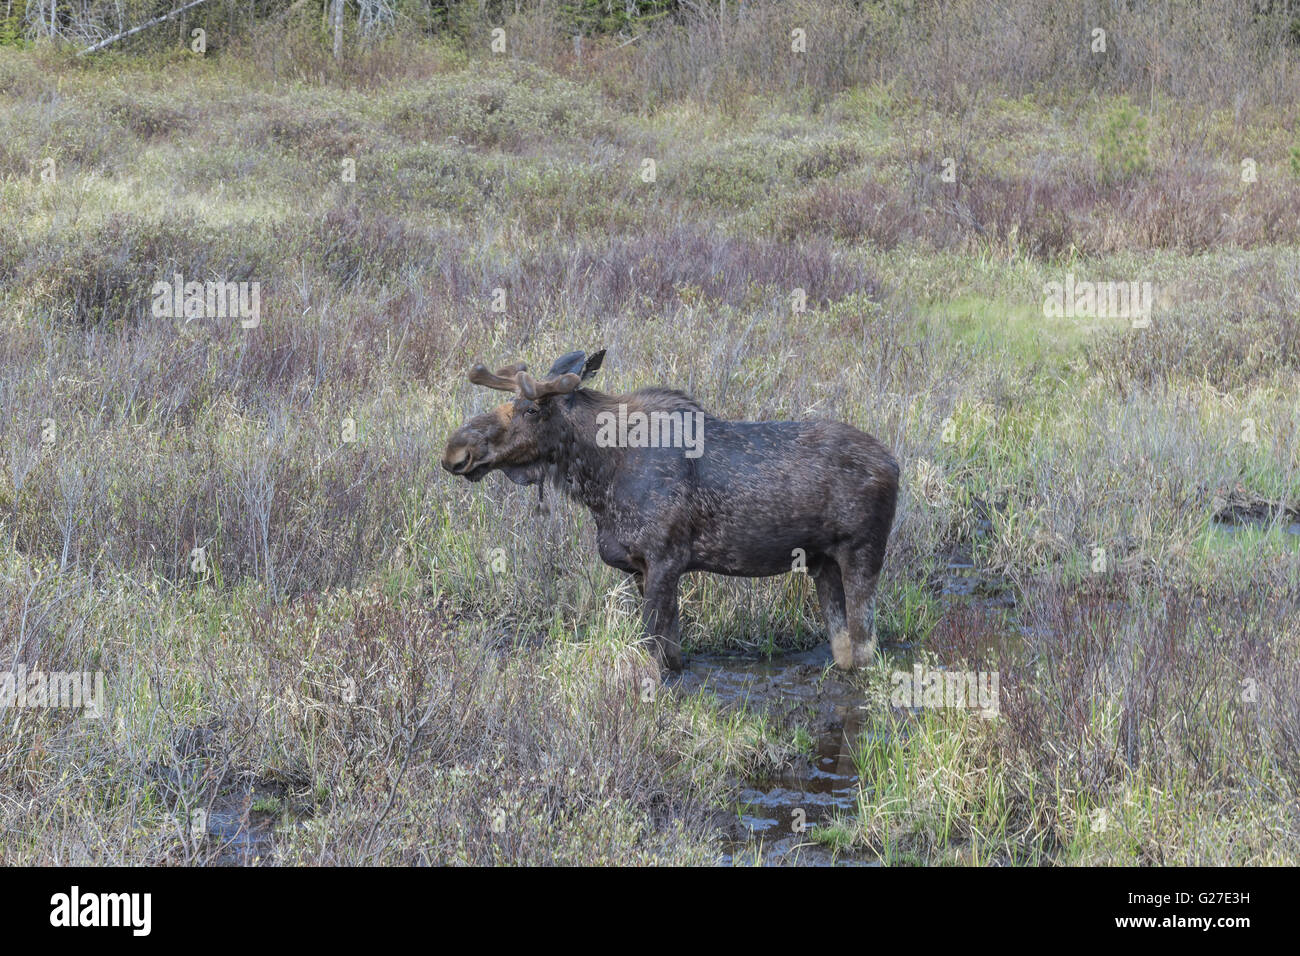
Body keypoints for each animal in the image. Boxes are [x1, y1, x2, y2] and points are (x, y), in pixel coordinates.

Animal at [442, 349, 899, 674]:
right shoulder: (643, 568)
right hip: (823, 563)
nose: (456, 450)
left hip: (862, 553)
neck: (600, 480)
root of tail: (895, 465)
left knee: (866, 650)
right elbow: (673, 655)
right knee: (845, 650)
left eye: (532, 409)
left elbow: (653, 652)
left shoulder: (664, 559)